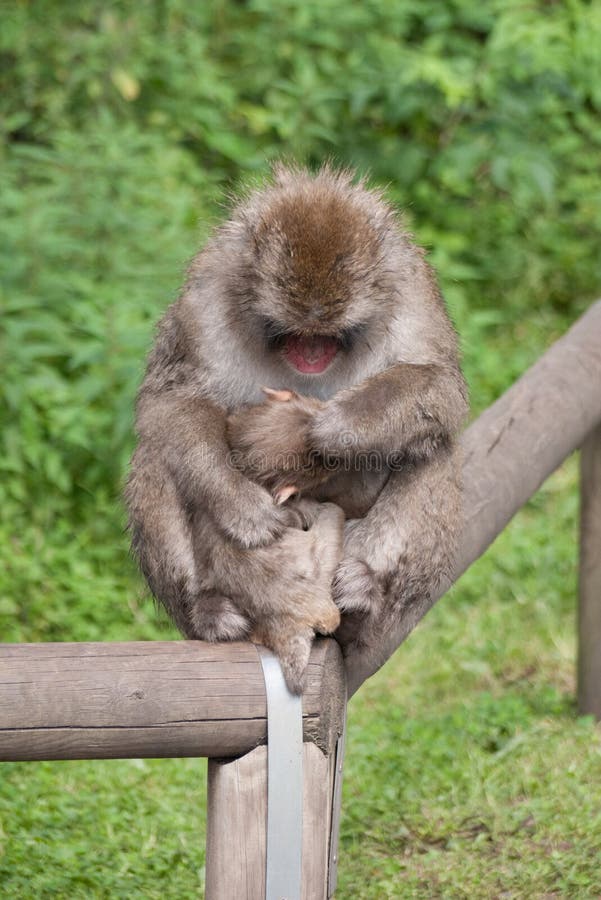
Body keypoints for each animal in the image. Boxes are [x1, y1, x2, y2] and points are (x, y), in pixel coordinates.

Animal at [125, 164, 468, 693]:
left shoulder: (412, 291)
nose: (311, 353)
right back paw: (206, 609)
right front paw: (239, 505)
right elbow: (171, 400)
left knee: (429, 446)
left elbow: (441, 384)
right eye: (292, 330)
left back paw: (366, 587)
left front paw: (342, 426)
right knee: (157, 453)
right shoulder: (208, 293)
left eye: (329, 333)